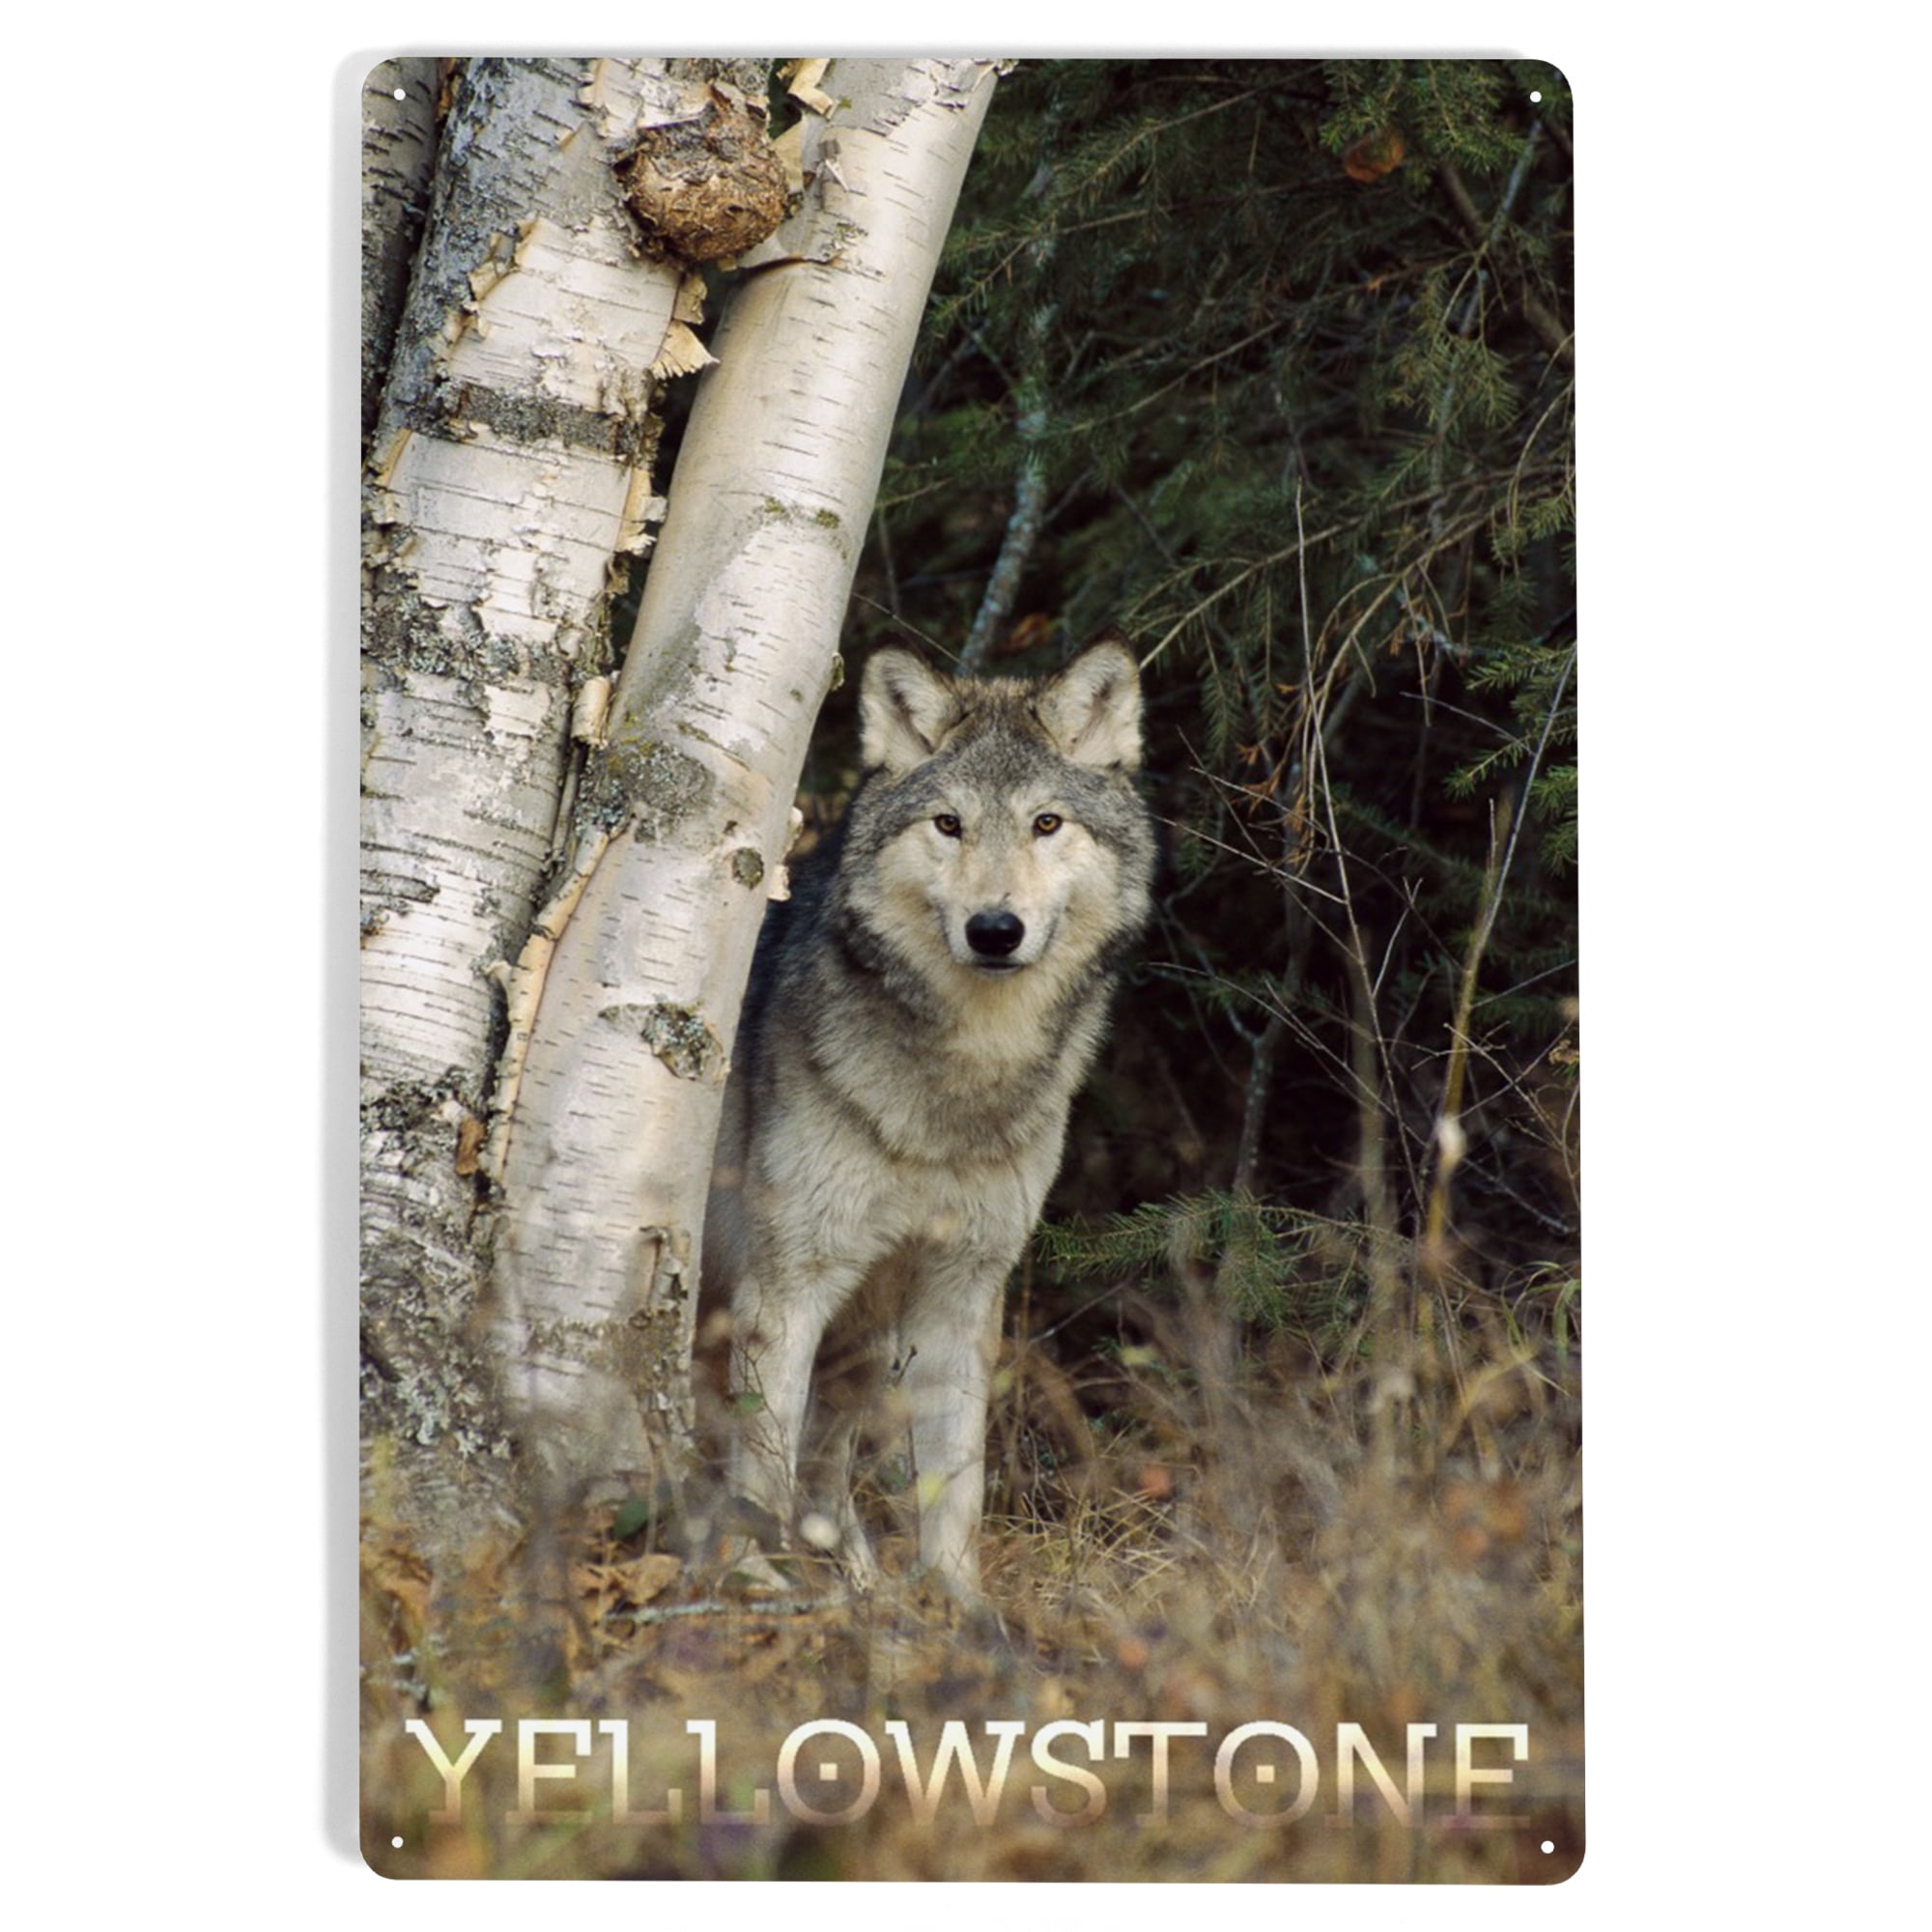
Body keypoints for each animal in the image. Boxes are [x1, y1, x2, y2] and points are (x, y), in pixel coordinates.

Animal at [704, 635, 1155, 1594]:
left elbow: (956, 1484)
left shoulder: (962, 1295)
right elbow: (761, 1462)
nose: (995, 930)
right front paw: (756, 1585)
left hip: (869, 1342)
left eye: (1047, 824)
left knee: (829, 1471)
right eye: (948, 824)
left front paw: (957, 1607)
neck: (957, 1089)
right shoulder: (784, 1288)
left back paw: (861, 1584)